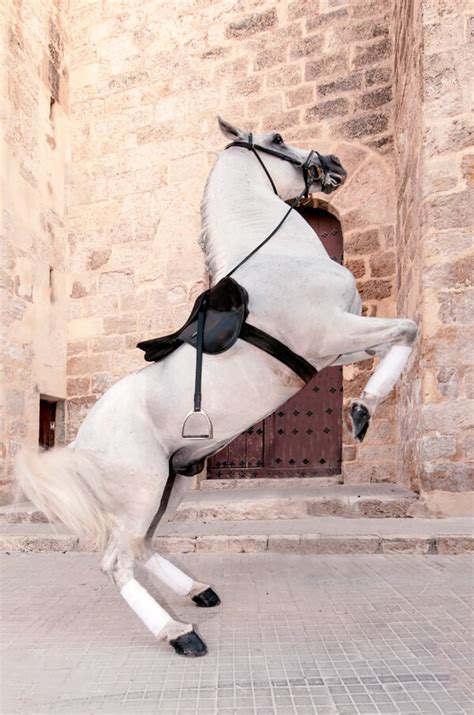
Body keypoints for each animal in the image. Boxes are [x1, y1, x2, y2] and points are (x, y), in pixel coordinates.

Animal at [16, 117, 417, 658]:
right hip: (142, 492)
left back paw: (196, 591)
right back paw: (177, 633)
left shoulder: (337, 350)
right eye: (276, 139)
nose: (333, 163)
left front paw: (363, 408)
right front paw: (361, 411)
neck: (278, 257)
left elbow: (404, 336)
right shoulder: (332, 333)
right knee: (117, 561)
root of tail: (81, 444)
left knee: (142, 547)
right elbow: (410, 328)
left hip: (174, 483)